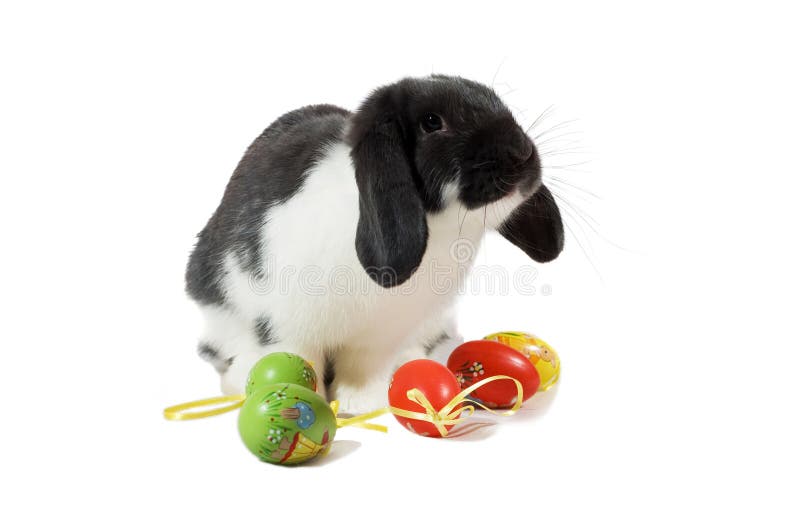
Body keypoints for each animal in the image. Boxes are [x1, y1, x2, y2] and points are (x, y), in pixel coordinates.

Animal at [185, 75, 564, 413]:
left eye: (495, 99)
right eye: (431, 122)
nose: (522, 153)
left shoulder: (379, 337)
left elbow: (362, 368)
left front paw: (364, 404)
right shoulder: (290, 327)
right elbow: (299, 360)